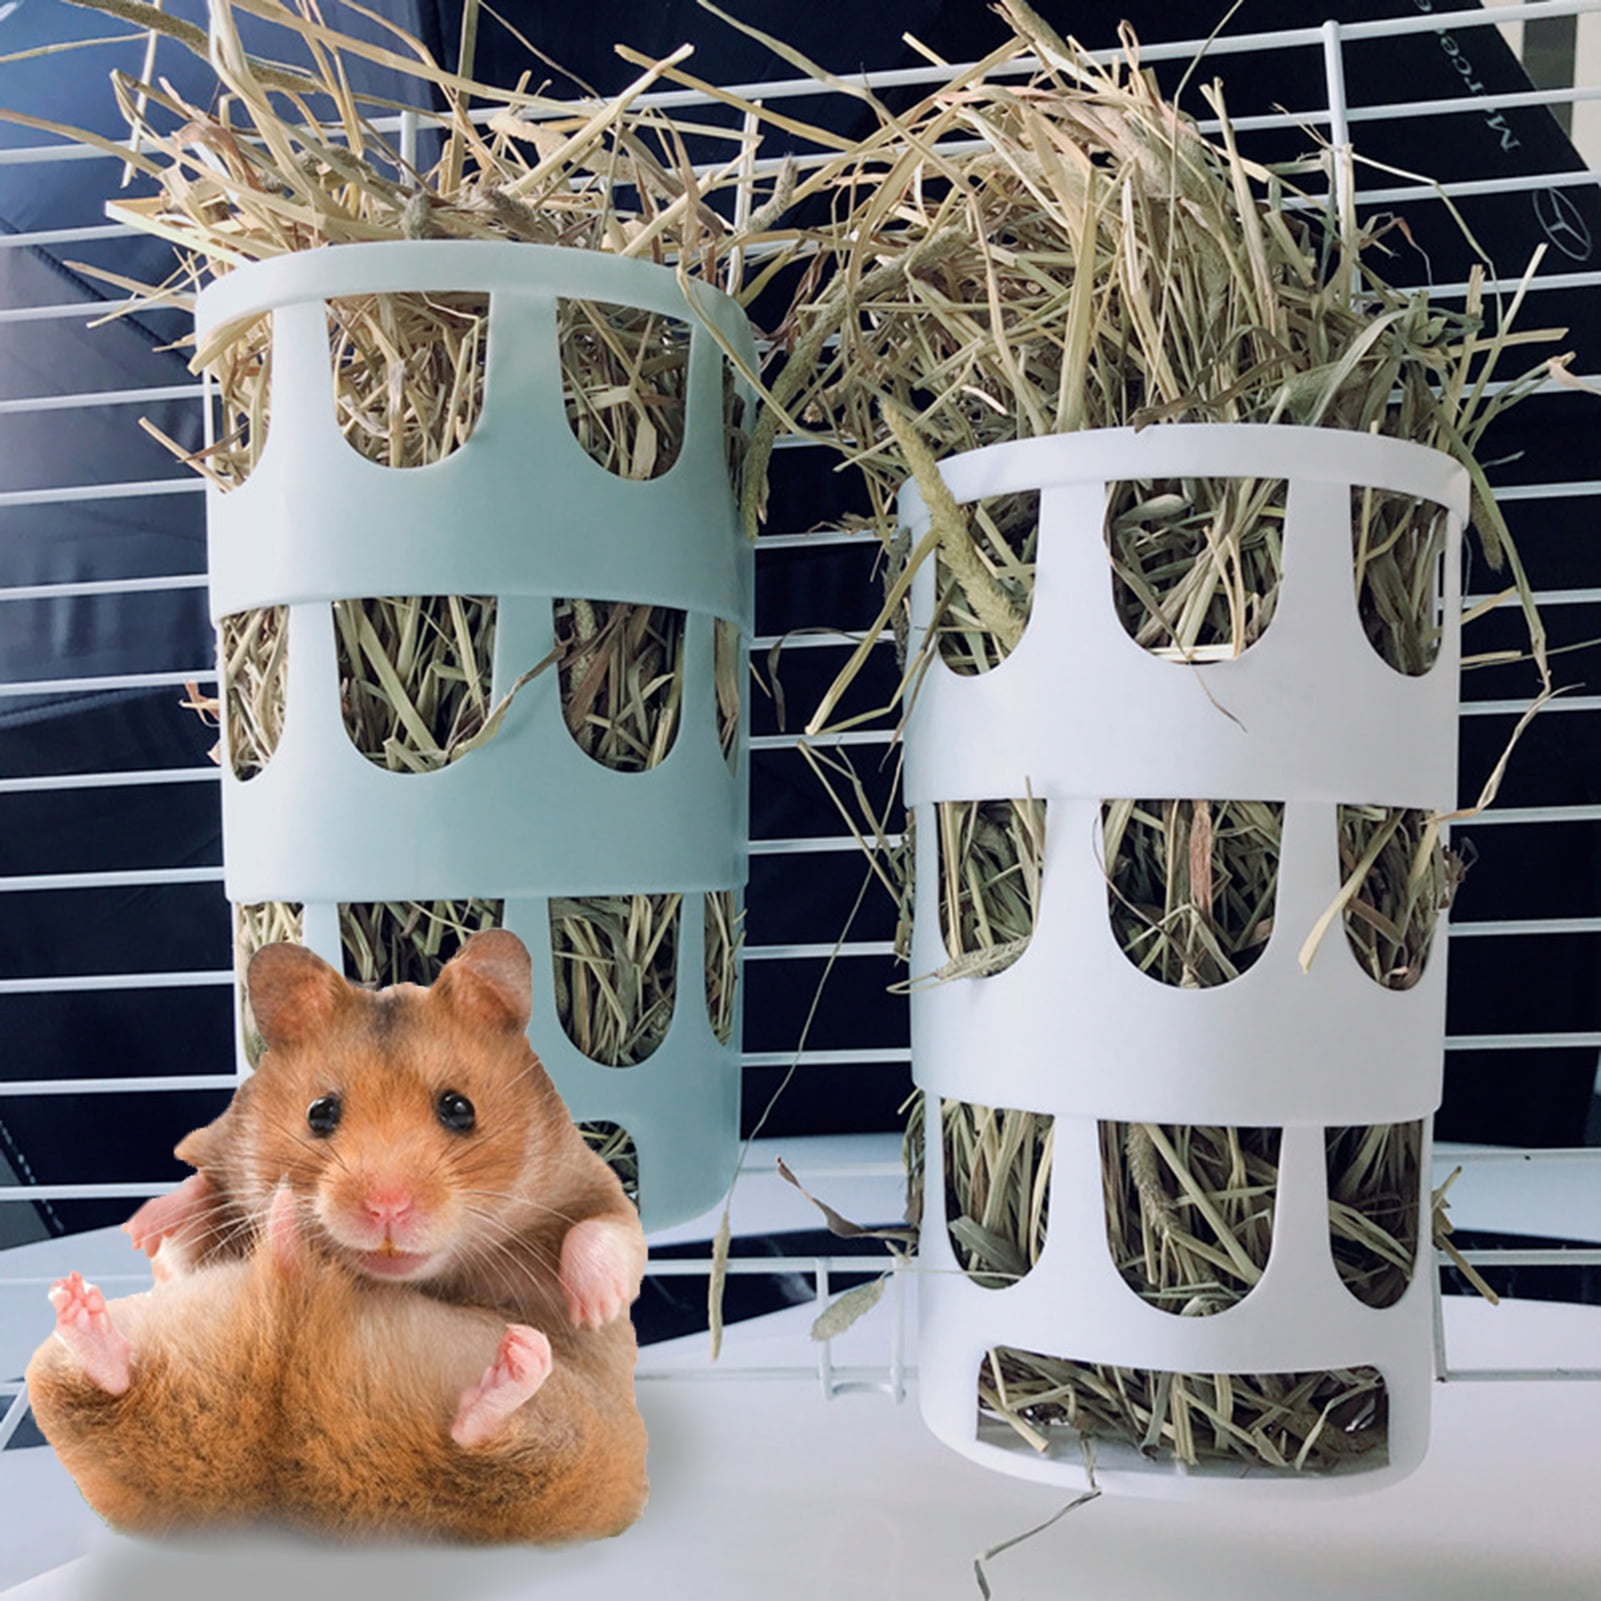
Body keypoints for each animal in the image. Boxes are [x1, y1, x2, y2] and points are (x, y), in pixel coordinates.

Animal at [123, 930, 647, 1345]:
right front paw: (140, 1233)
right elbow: (197, 1206)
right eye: (320, 1113)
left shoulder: (589, 1182)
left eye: (460, 1109)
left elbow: (605, 1231)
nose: (387, 1208)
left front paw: (594, 1311)